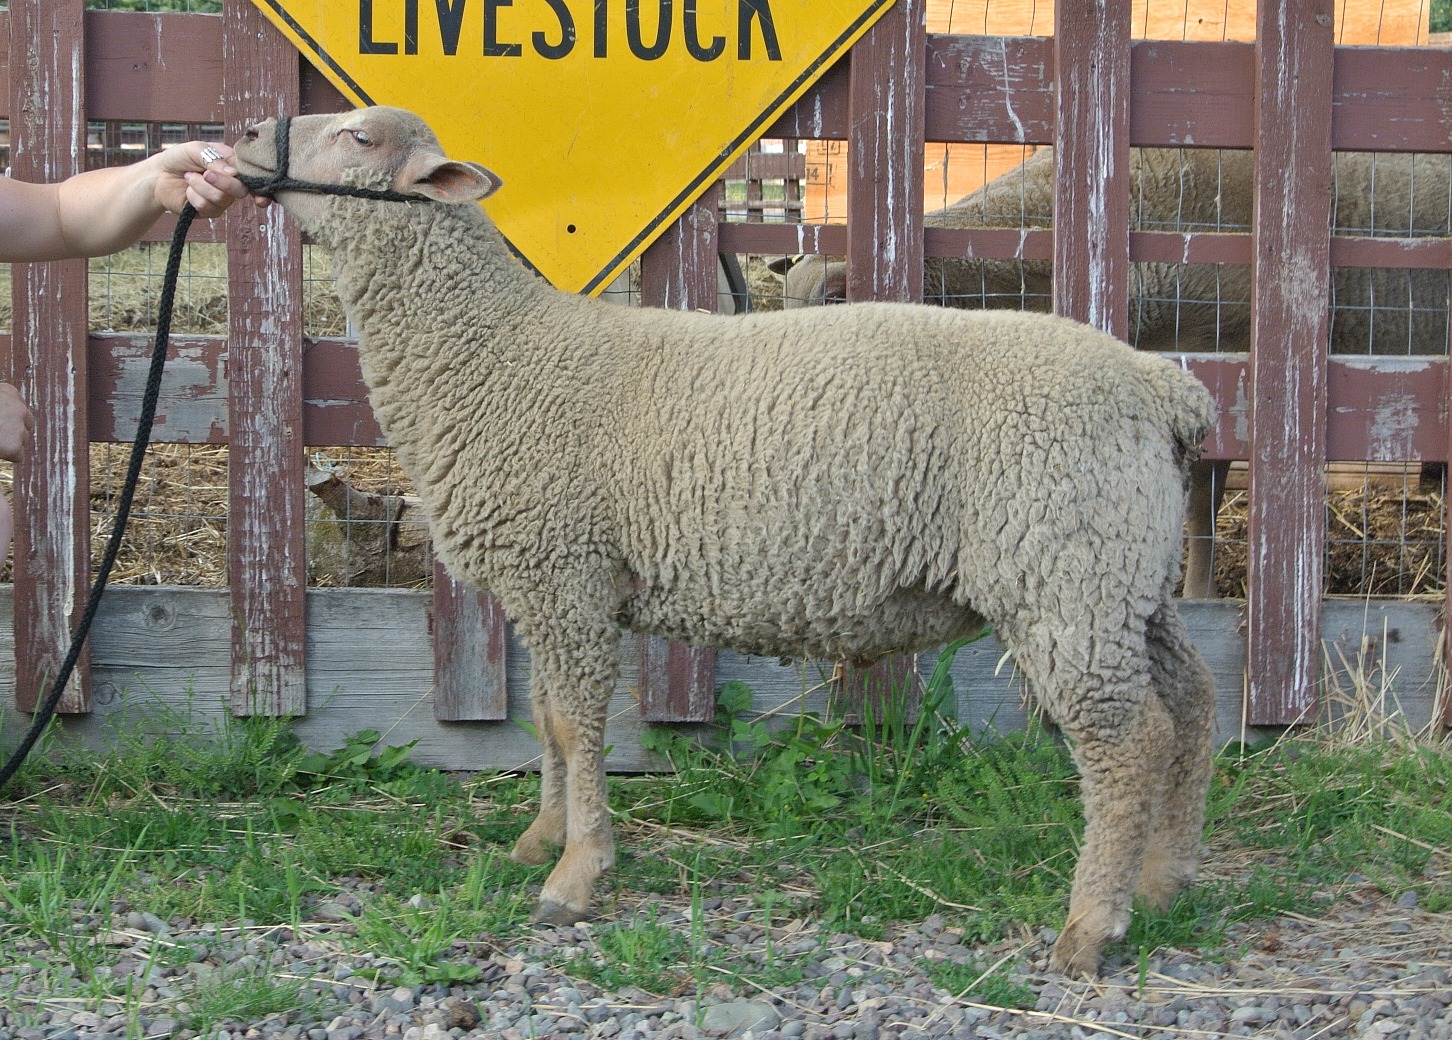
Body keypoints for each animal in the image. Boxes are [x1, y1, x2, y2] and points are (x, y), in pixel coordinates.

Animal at [233, 106, 1219, 976]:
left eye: (361, 136)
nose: (244, 137)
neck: (497, 354)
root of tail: (1158, 388)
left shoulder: (565, 571)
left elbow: (576, 723)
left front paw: (576, 874)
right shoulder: (548, 585)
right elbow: (548, 721)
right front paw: (540, 839)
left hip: (1064, 574)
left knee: (1125, 740)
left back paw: (1090, 926)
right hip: (1126, 575)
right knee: (1191, 705)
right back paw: (1164, 880)